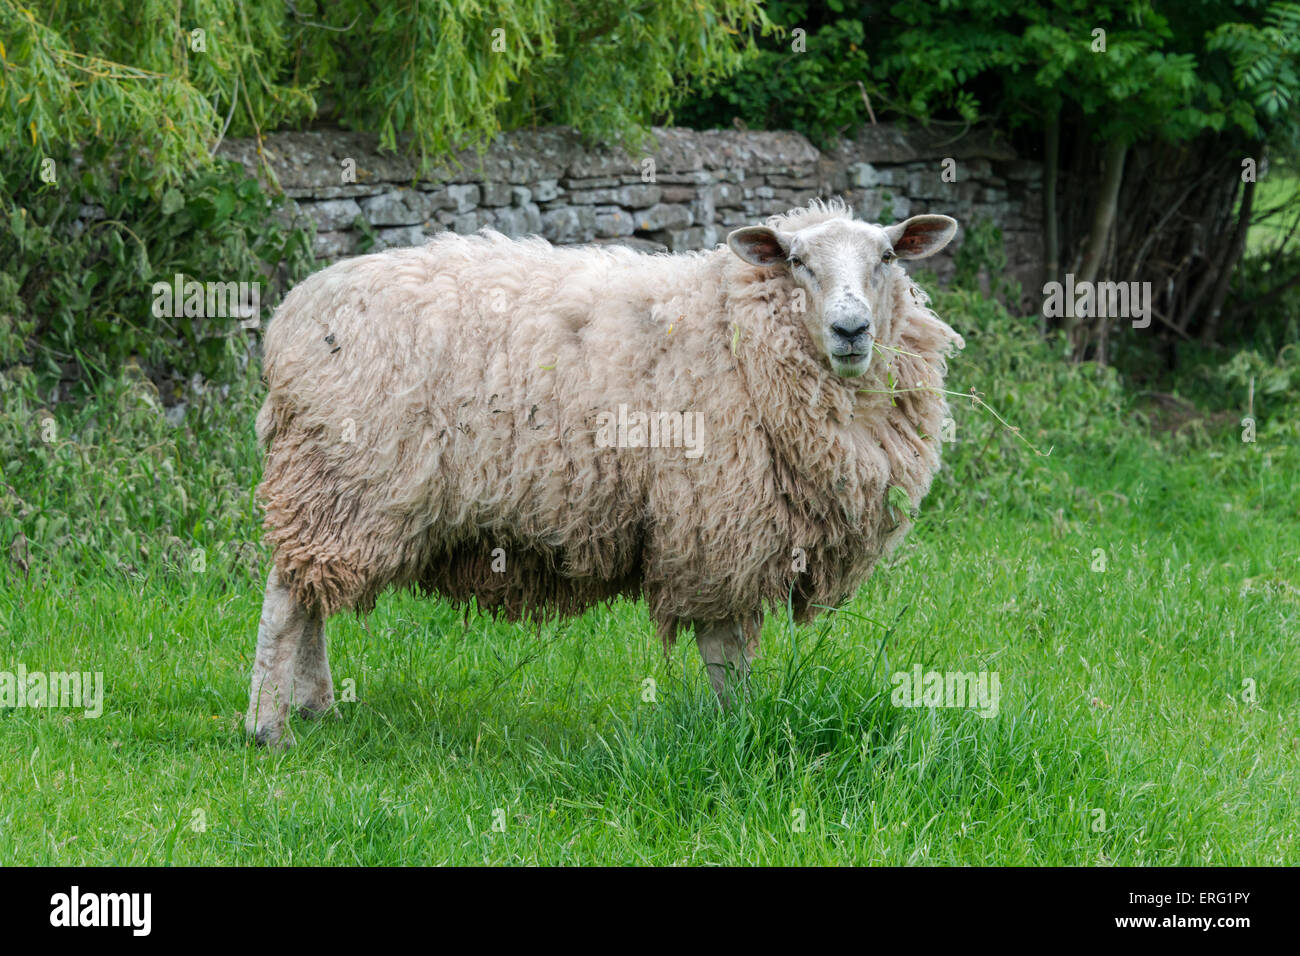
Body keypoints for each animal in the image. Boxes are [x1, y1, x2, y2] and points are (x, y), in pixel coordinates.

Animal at [246, 198, 963, 745]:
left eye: (888, 258)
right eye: (797, 262)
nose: (851, 329)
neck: (737, 331)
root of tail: (292, 316)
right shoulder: (718, 526)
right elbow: (727, 651)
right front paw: (738, 731)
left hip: (331, 488)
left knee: (309, 590)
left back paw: (315, 706)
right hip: (344, 478)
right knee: (286, 598)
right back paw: (268, 727)